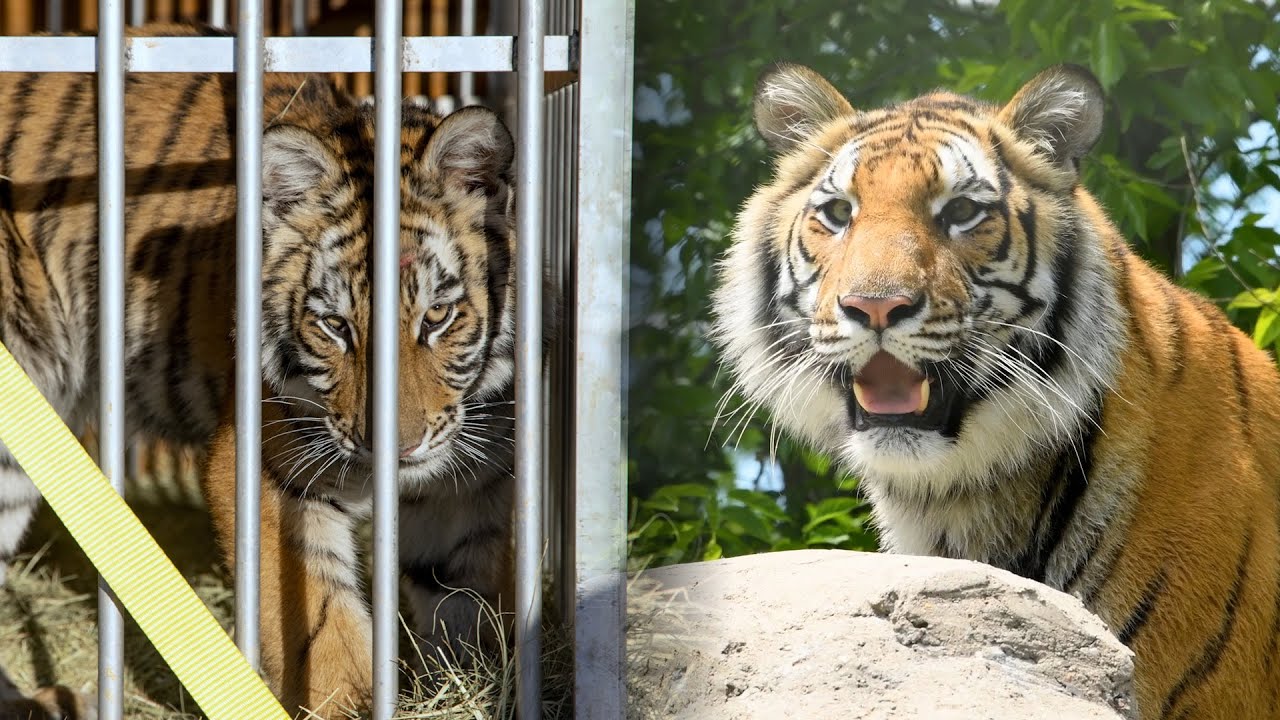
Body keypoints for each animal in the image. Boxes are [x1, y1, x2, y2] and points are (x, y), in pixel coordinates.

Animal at [0, 23, 520, 718]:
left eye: (437, 316)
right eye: (336, 326)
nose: (398, 448)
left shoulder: (470, 489)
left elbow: (470, 608)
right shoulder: (263, 468)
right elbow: (323, 628)